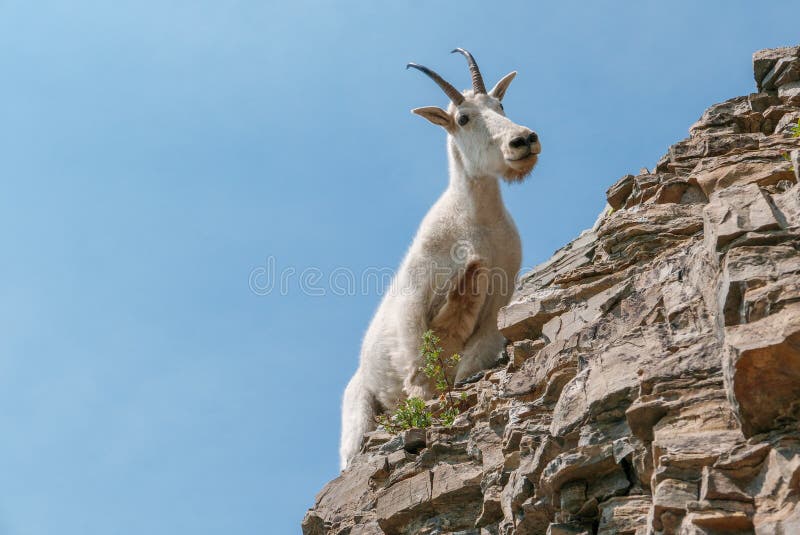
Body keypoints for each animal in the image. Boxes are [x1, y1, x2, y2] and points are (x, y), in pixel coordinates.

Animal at [340, 49, 540, 470]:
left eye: (500, 105)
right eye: (463, 118)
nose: (523, 140)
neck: (475, 225)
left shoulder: (495, 302)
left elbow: (472, 357)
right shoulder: (416, 300)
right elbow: (421, 376)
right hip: (357, 417)